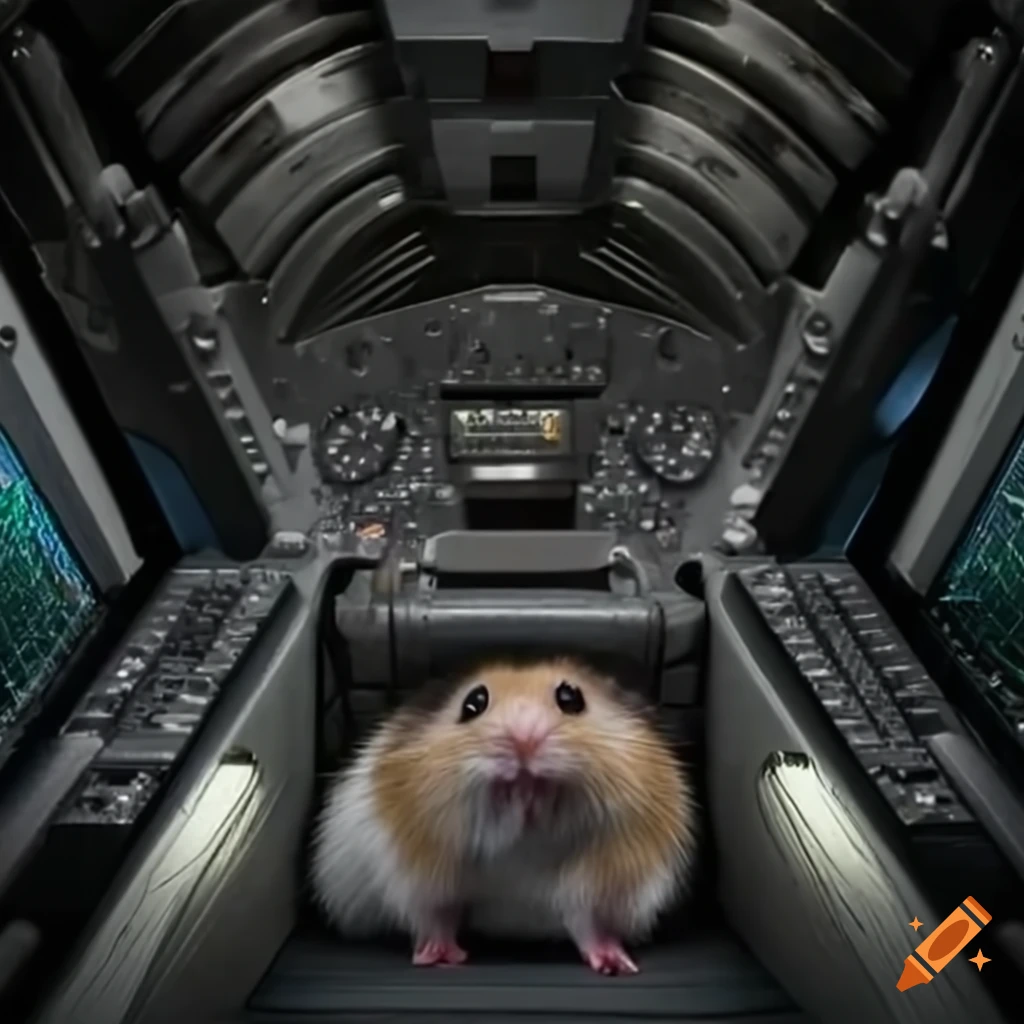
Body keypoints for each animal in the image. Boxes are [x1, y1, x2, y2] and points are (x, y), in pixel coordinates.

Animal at [310, 656, 697, 975]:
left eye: (571, 697)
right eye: (473, 702)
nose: (524, 740)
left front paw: (534, 792)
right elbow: (496, 824)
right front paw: (519, 794)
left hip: (591, 891)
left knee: (589, 929)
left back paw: (617, 965)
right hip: (426, 884)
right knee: (438, 920)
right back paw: (439, 957)